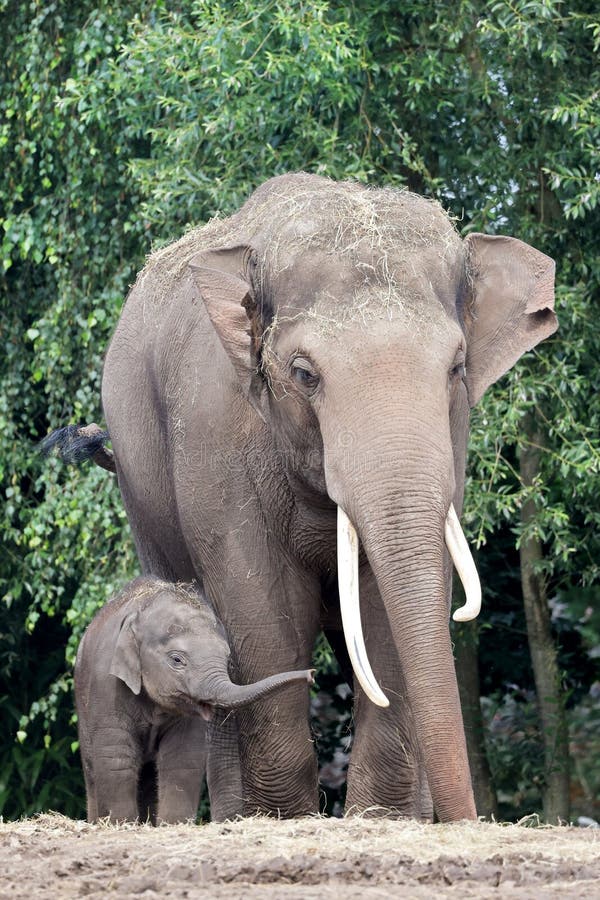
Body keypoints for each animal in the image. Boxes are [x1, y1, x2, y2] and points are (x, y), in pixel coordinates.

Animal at [74, 575, 313, 823]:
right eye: (177, 660)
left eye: (228, 658)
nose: (311, 674)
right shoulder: (107, 684)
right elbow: (116, 756)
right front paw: (121, 824)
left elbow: (182, 755)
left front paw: (173, 824)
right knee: (93, 769)